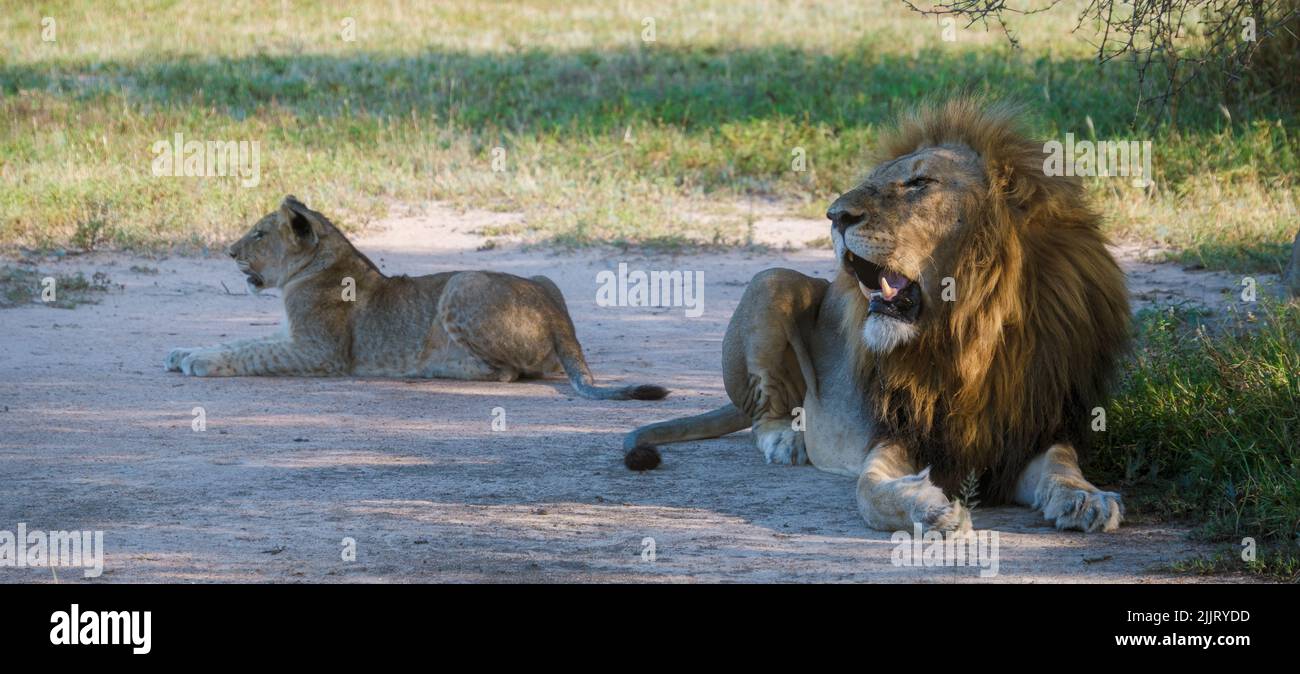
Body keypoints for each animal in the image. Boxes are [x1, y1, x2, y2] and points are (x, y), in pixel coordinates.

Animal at [165, 196, 669, 401]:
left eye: (259, 233)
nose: (230, 252)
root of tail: (559, 317)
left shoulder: (321, 352)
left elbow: (252, 353)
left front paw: (199, 361)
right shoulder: (292, 336)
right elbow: (240, 341)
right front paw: (183, 351)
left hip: (462, 283)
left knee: (508, 372)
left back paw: (432, 366)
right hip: (544, 278)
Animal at [623, 99, 1131, 533]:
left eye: (919, 183)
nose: (834, 215)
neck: (967, 334)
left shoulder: (1027, 433)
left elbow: (1062, 464)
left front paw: (1085, 499)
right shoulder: (896, 435)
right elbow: (870, 493)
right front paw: (932, 510)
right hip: (770, 280)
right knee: (763, 412)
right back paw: (787, 439)